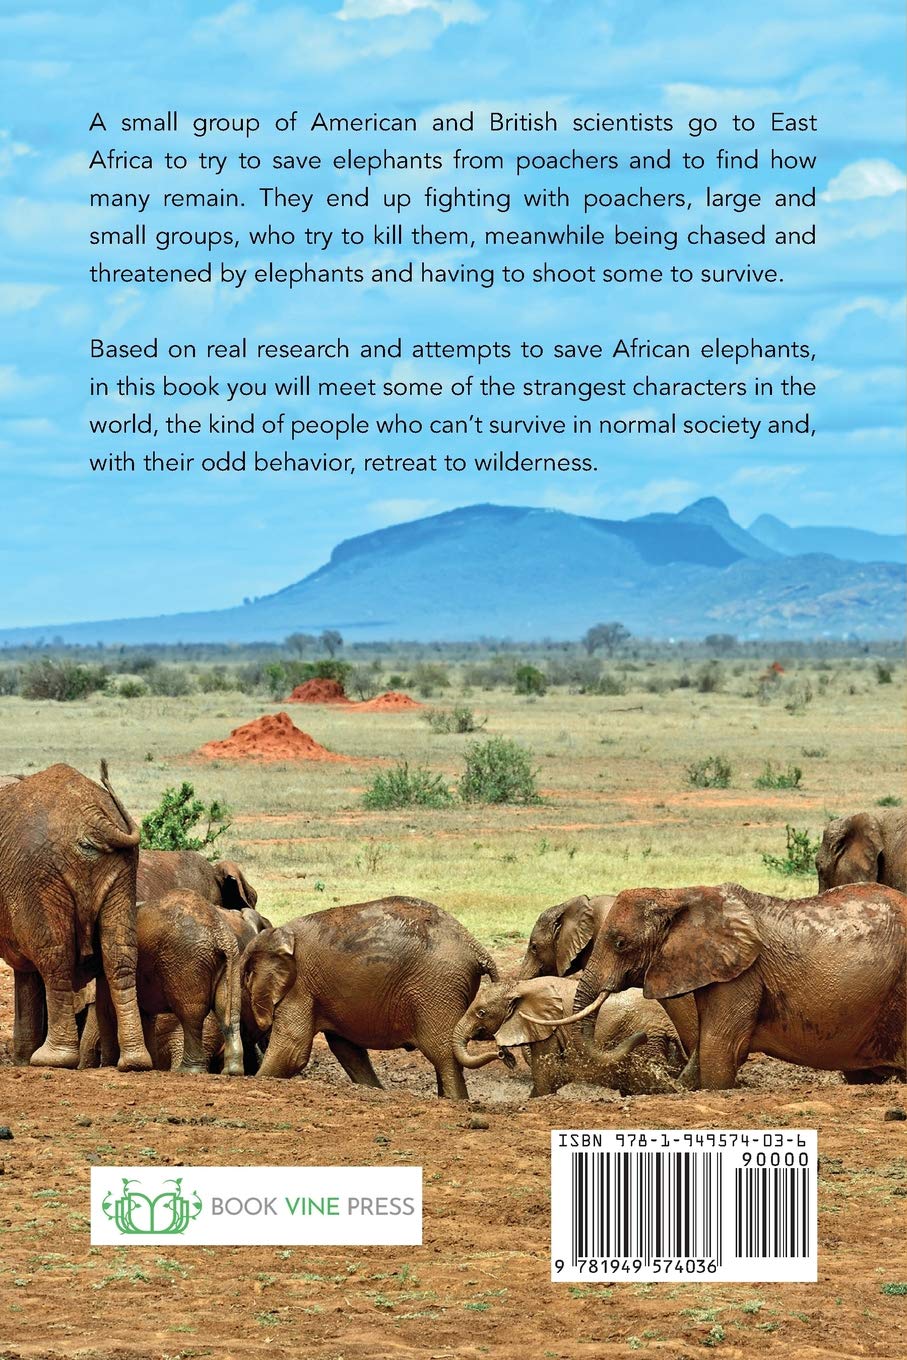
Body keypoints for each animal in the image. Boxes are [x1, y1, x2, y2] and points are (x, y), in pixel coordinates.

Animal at [0, 762, 151, 1070]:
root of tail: (93, 816)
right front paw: (20, 1060)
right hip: (124, 868)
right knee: (120, 954)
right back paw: (135, 1062)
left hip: (39, 873)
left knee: (54, 956)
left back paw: (51, 1058)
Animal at [79, 891, 243, 1075]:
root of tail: (219, 934)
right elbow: (144, 1013)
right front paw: (150, 1065)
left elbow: (106, 1009)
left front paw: (110, 1065)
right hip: (232, 960)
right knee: (230, 1011)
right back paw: (232, 1071)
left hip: (187, 961)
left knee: (191, 1015)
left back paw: (188, 1071)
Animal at [242, 895, 498, 1098]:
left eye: (245, 977)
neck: (277, 934)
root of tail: (474, 945)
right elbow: (349, 1051)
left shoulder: (300, 984)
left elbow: (292, 1050)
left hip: (437, 987)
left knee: (443, 1053)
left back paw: (455, 1101)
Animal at [453, 976, 686, 1096]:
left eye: (481, 1013)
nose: (504, 1056)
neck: (518, 986)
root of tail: (668, 1026)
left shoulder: (547, 1029)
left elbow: (544, 1073)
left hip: (648, 1041)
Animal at [571, 882, 907, 1089]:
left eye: (620, 943)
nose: (641, 1035)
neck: (680, 894)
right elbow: (705, 1043)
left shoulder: (742, 975)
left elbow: (719, 1046)